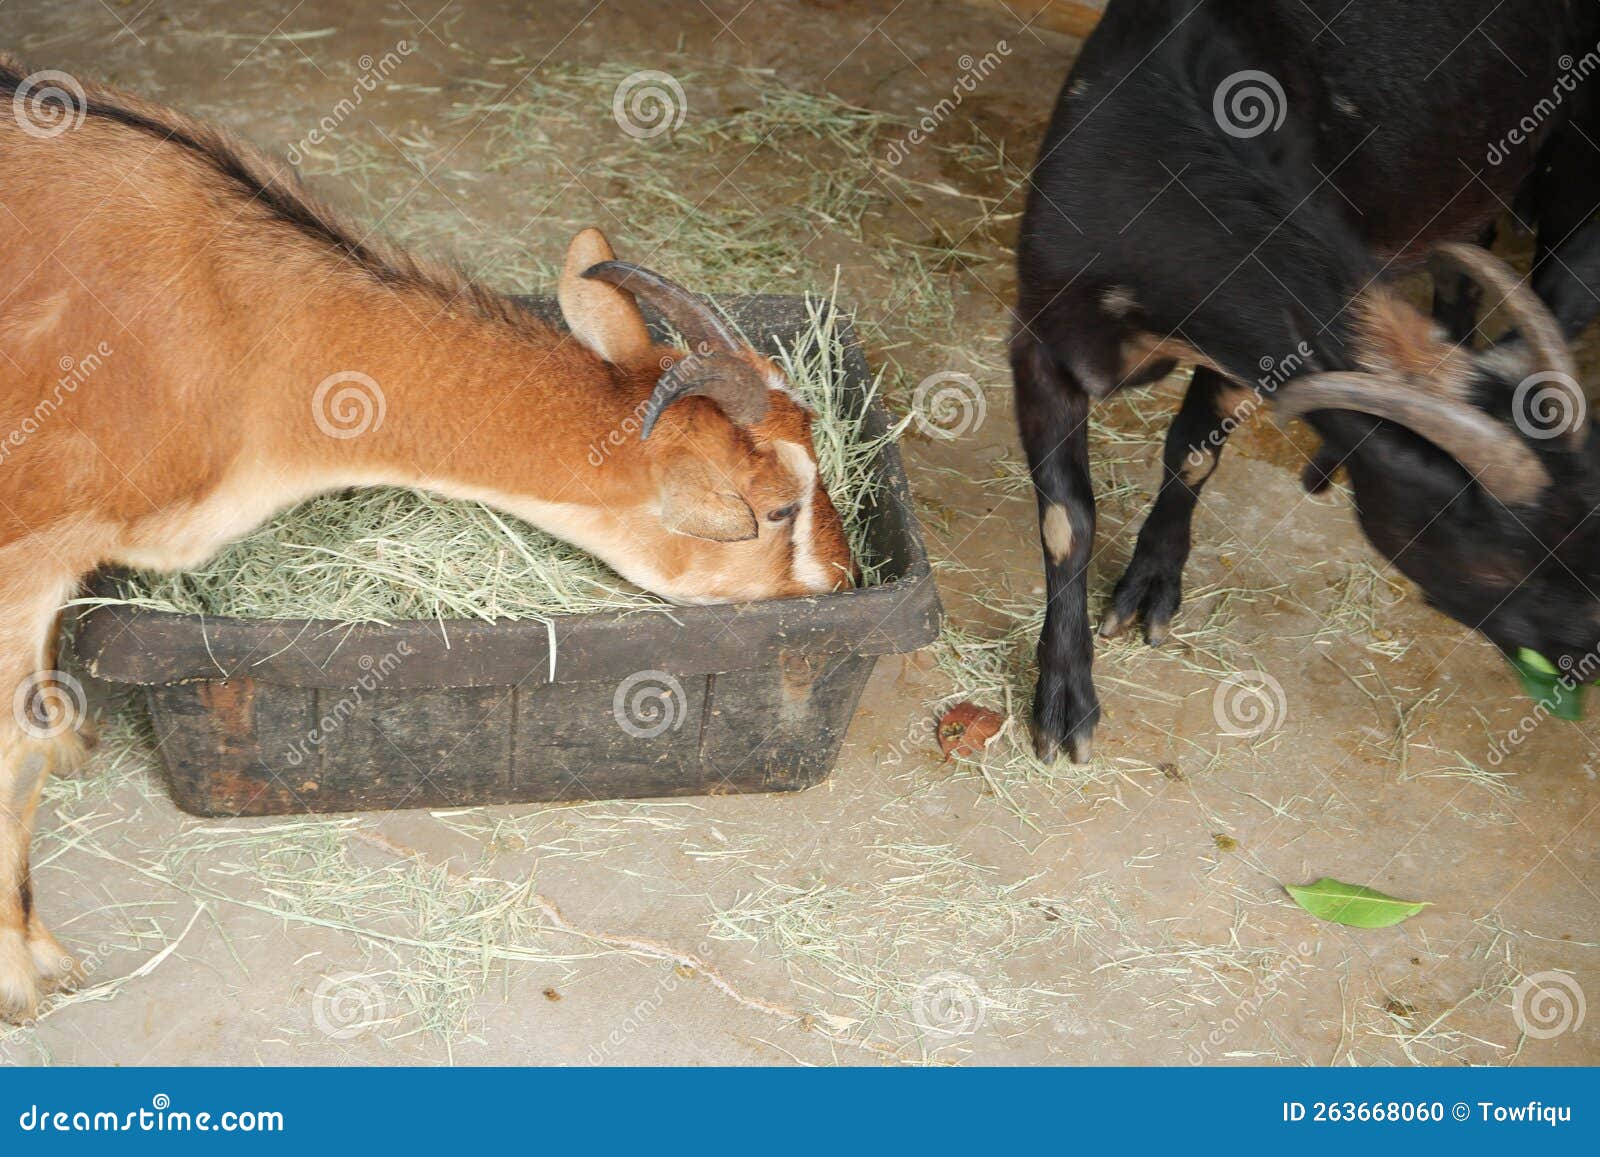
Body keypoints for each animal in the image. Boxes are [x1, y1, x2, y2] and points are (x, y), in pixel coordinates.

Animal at [0, 57, 853, 1018]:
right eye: (777, 509)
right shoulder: (26, 548)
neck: (246, 325)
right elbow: (15, 759)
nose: (844, 573)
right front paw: (27, 969)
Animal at [1012, 0, 1600, 762]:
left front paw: (1150, 588)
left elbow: (1193, 454)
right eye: (1503, 564)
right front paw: (1063, 701)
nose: (1584, 655)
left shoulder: (1246, 356)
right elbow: (1067, 520)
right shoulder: (1039, 336)